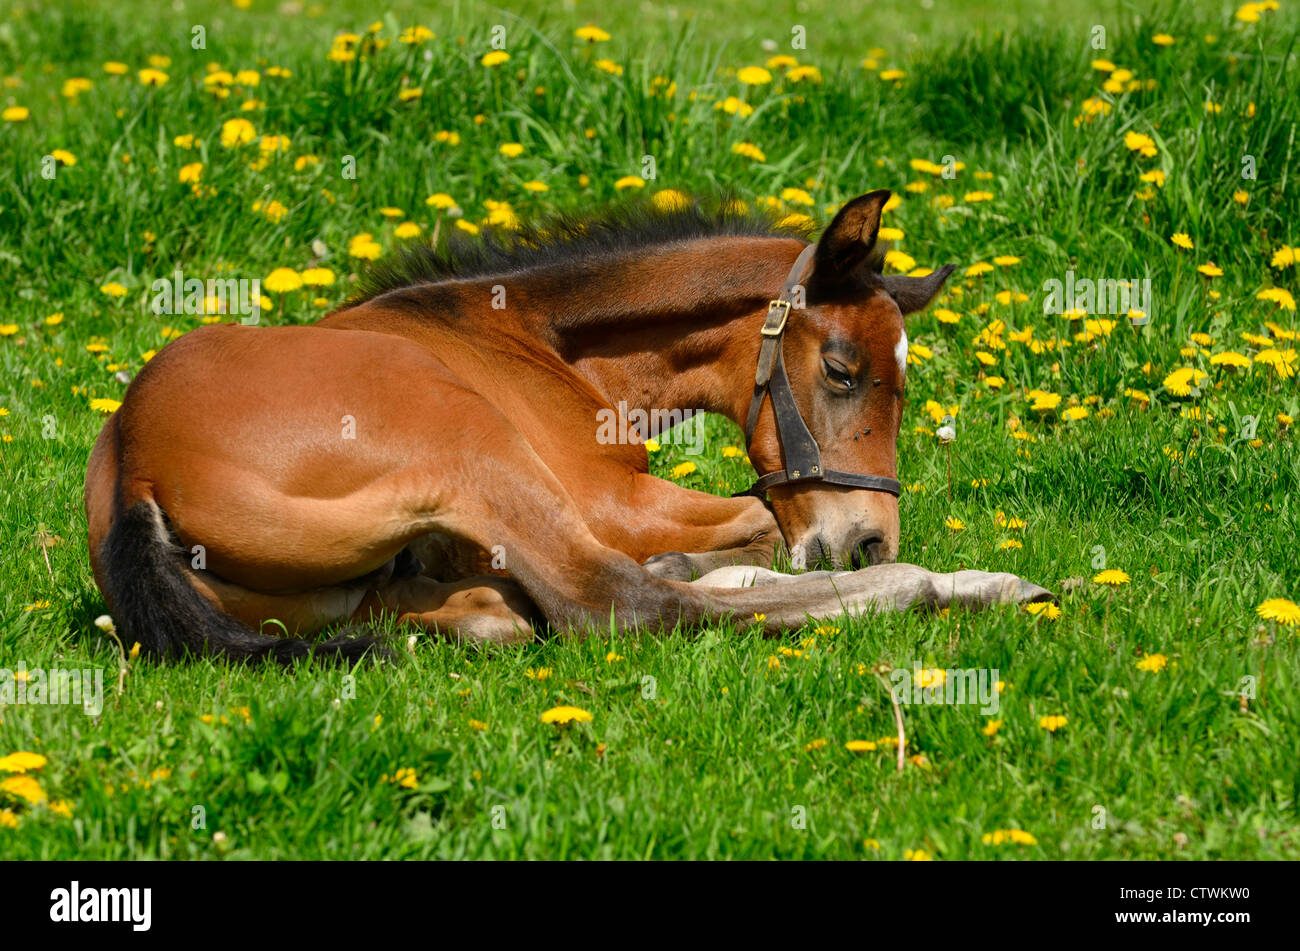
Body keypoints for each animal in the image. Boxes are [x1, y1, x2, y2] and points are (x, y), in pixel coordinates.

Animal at [84, 190, 1053, 662]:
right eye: (844, 370)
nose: (868, 542)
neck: (532, 332)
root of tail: (135, 465)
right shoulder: (608, 498)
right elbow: (756, 521)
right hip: (469, 447)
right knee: (617, 603)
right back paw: (966, 583)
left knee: (503, 615)